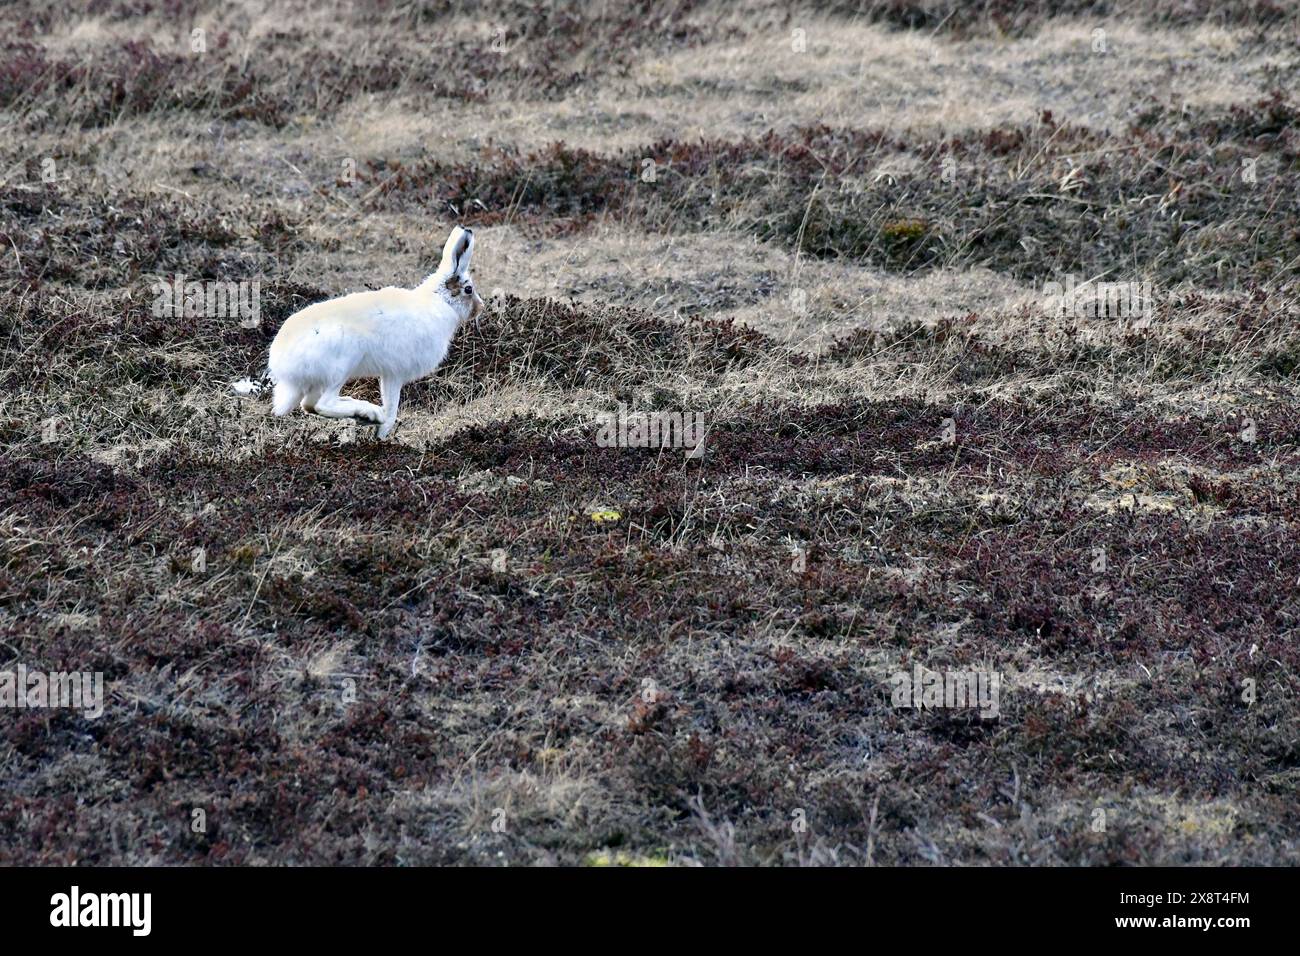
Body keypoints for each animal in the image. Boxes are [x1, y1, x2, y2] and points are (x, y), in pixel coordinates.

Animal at [233, 226, 483, 440]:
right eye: (468, 289)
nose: (480, 308)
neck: (439, 301)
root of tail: (282, 369)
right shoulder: (395, 372)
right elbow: (392, 409)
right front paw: (382, 436)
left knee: (310, 405)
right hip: (342, 363)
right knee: (322, 404)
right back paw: (368, 413)